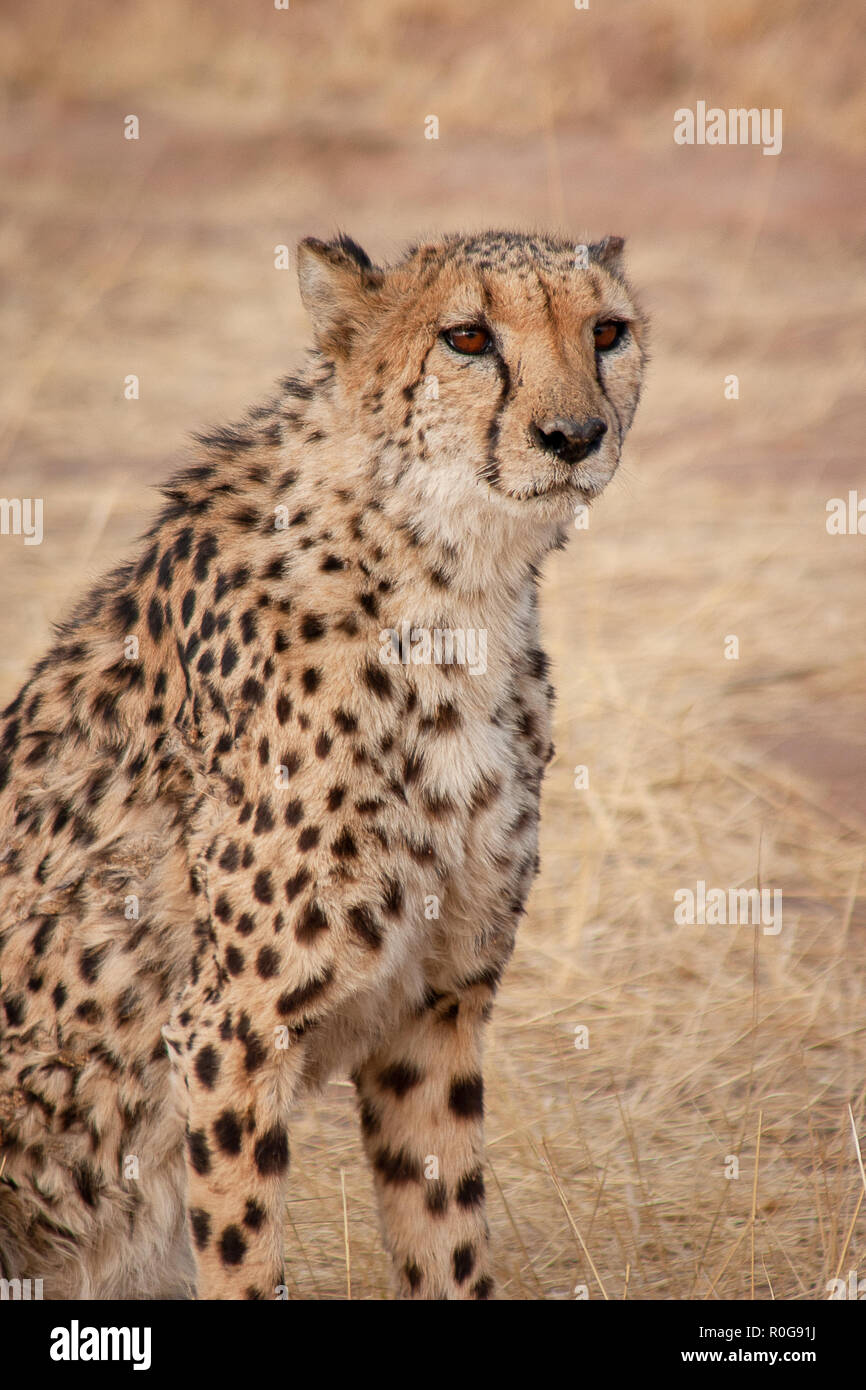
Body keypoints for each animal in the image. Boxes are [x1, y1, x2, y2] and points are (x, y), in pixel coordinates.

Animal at [0, 229, 647, 1299]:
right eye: (467, 338)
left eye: (608, 332)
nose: (574, 435)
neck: (449, 587)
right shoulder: (228, 1029)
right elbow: (243, 1255)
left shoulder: (436, 1006)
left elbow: (448, 1241)